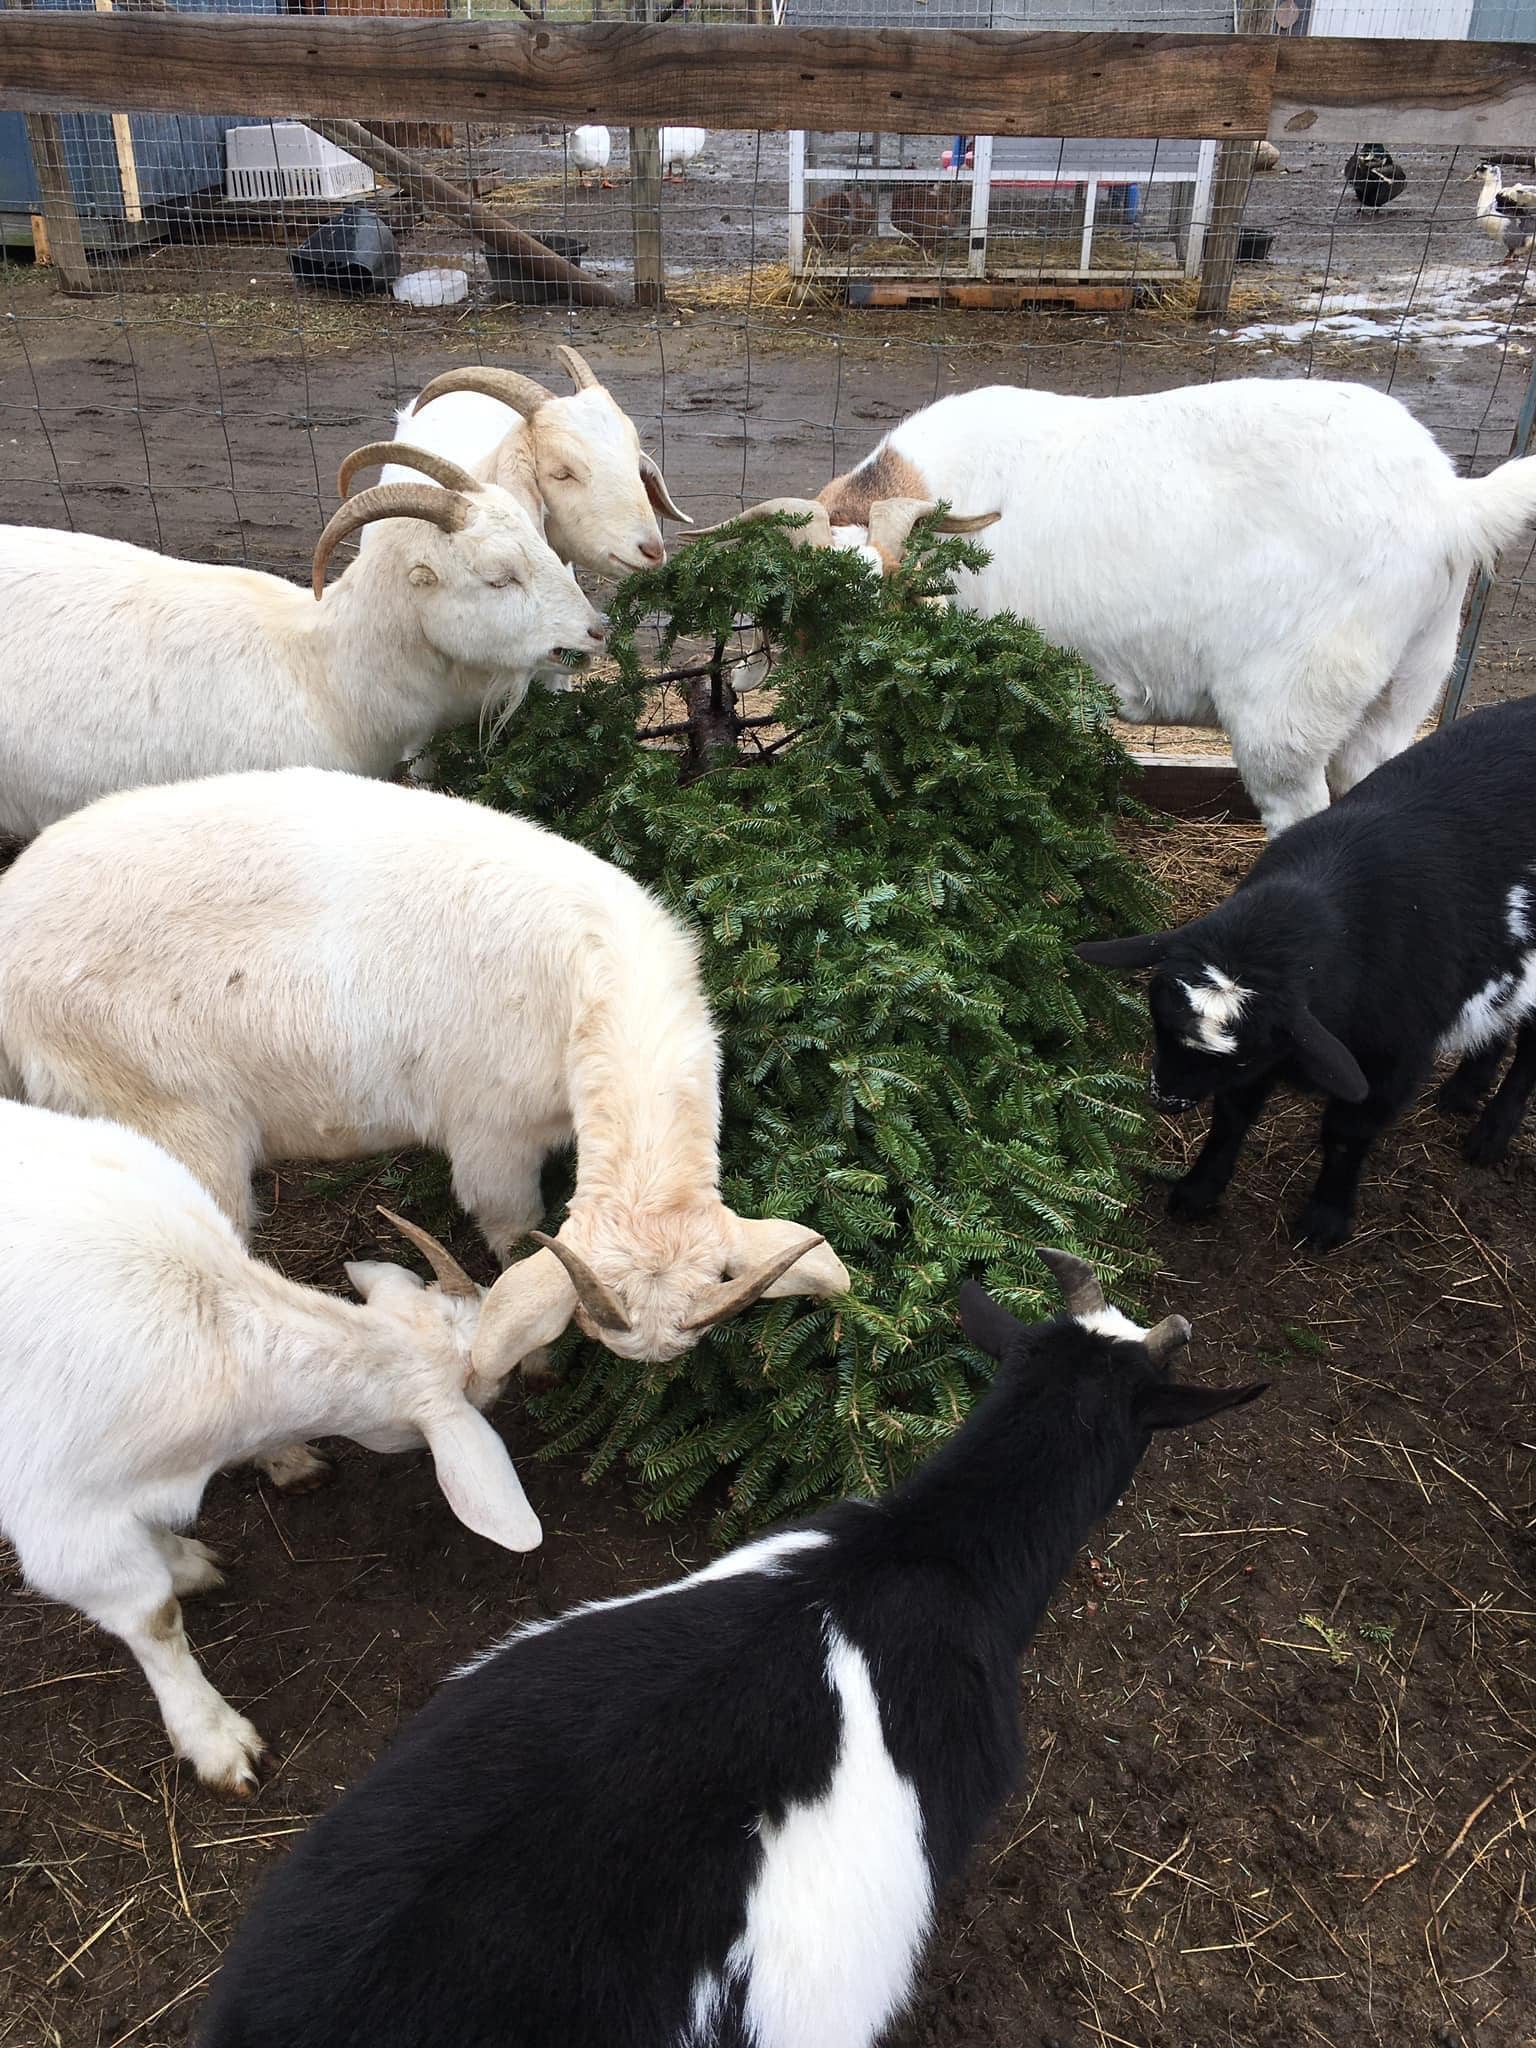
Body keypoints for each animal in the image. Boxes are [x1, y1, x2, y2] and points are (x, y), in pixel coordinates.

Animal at [0, 767, 848, 1490]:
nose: (653, 1372)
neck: (593, 978)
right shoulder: (493, 1131)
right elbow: (512, 1230)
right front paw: (537, 1367)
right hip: (159, 1108)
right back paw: (287, 1461)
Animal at [1077, 698, 1536, 1251]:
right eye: (1157, 1024)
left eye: (1238, 1056)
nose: (1166, 1100)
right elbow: (1232, 1116)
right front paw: (1198, 1190)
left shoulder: (1392, 1058)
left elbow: (1345, 1134)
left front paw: (1325, 1219)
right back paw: (1465, 1090)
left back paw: (1491, 1133)